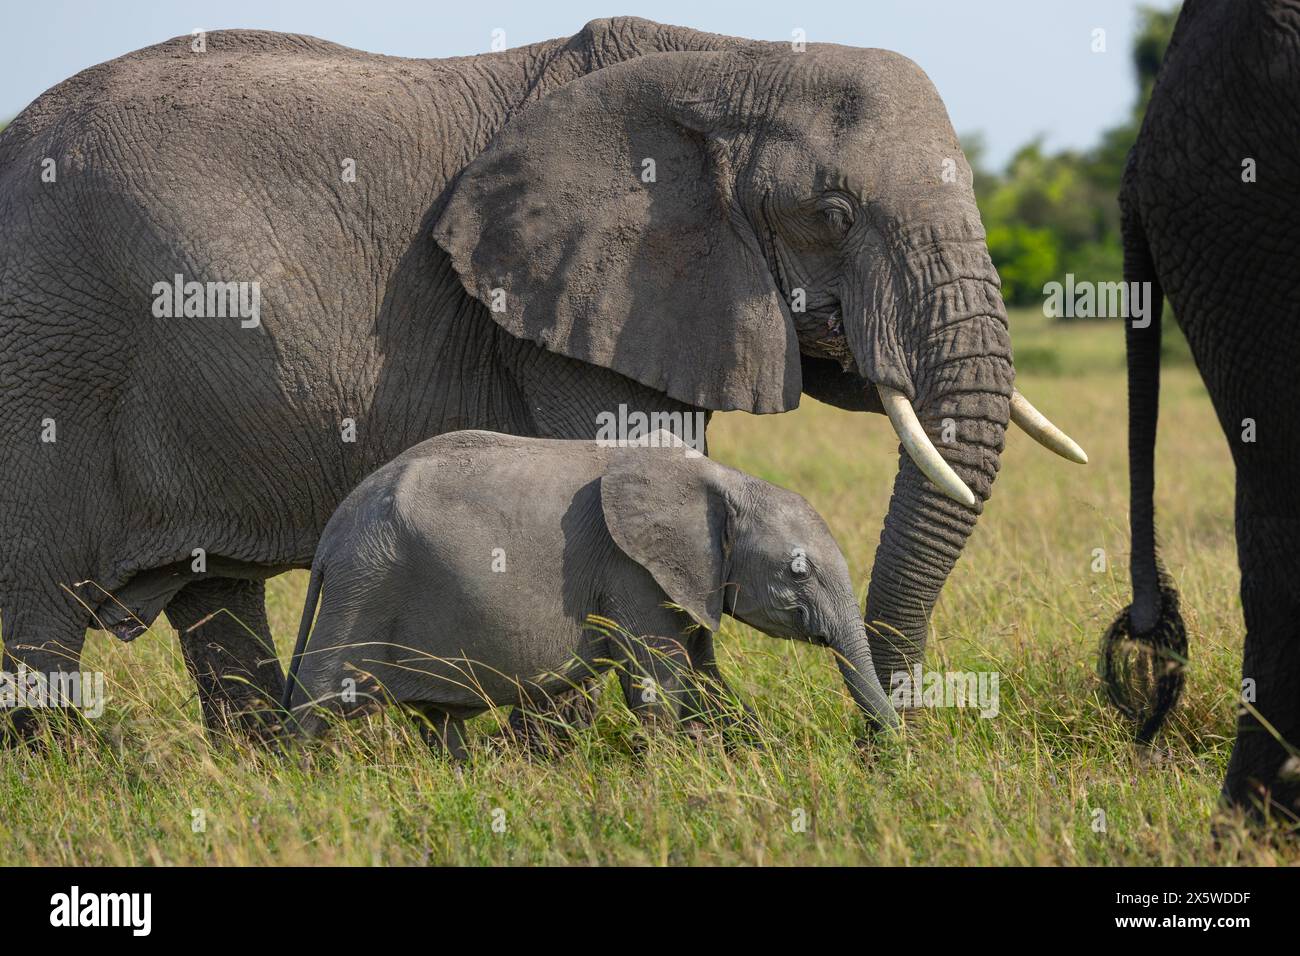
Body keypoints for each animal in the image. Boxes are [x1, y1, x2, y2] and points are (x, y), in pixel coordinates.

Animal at [281, 429, 900, 754]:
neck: (720, 479)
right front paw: (662, 775)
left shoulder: (682, 577)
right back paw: (300, 777)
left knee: (439, 717)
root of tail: (333, 533)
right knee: (319, 696)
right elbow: (657, 678)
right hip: (365, 585)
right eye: (798, 573)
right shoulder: (630, 570)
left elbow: (705, 676)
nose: (877, 753)